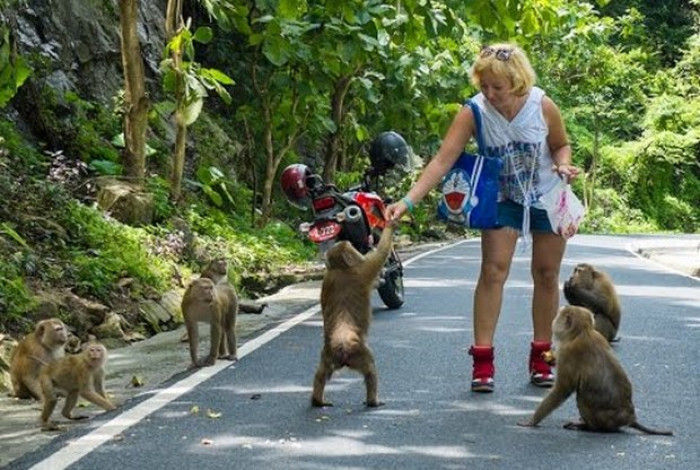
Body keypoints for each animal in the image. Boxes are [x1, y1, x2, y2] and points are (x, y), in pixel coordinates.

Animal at [311, 222, 397, 408]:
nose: (350, 242)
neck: (341, 269)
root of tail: (341, 345)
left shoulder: (328, 278)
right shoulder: (363, 270)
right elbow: (380, 254)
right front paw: (391, 223)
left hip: (327, 355)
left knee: (321, 373)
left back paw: (317, 400)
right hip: (359, 352)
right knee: (370, 370)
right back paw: (373, 401)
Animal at [518, 305, 672, 436]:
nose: (554, 320)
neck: (582, 331)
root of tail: (629, 417)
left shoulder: (569, 352)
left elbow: (563, 389)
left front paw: (532, 421)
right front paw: (549, 359)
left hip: (603, 418)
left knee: (581, 395)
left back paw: (588, 427)